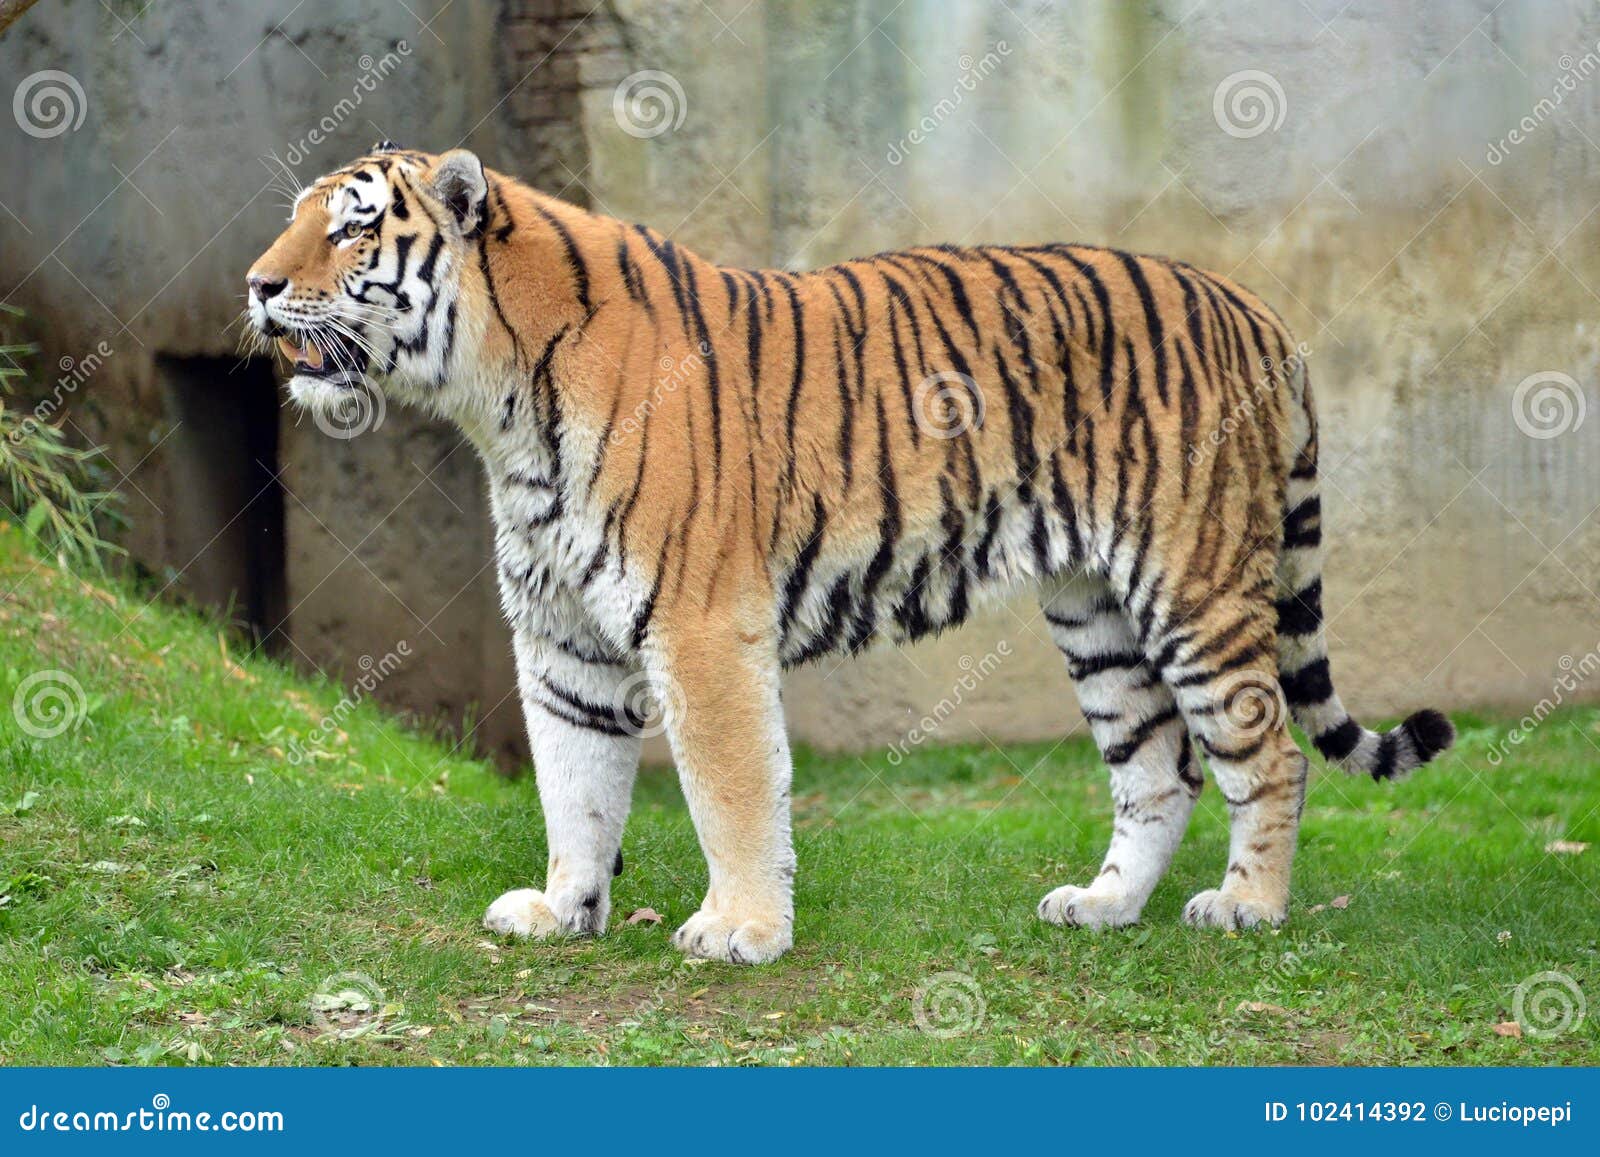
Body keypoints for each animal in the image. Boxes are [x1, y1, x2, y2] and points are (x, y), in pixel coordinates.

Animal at [245, 143, 1455, 964]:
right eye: (298, 221)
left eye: (351, 230)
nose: (256, 284)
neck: (495, 406)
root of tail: (1255, 308)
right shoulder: (561, 643)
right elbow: (573, 787)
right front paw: (562, 909)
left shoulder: (698, 627)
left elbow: (730, 787)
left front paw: (739, 928)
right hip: (1095, 610)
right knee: (1161, 765)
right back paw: (1102, 904)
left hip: (1191, 586)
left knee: (1271, 752)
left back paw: (1247, 906)